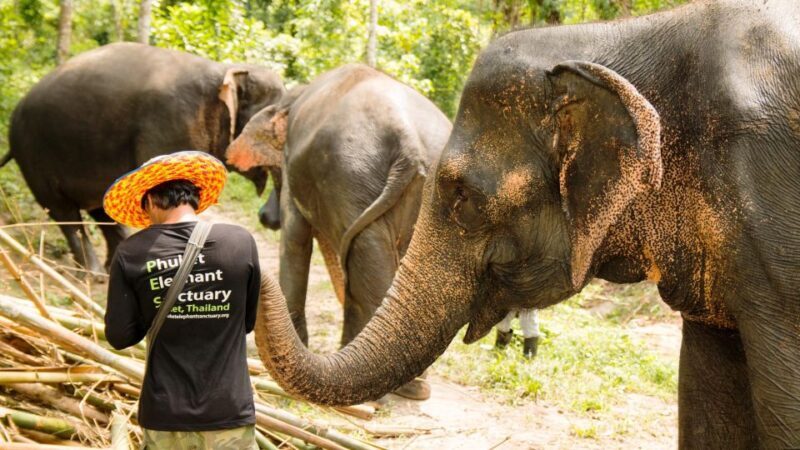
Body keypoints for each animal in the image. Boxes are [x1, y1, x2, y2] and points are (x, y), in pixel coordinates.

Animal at [5, 42, 284, 275]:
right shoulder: (171, 125)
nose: (266, 217)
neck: (225, 69)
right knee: (63, 211)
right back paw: (92, 275)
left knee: (100, 210)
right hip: (32, 155)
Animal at [226, 64, 452, 398]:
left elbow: (295, 240)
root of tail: (409, 144)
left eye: (273, 171)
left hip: (350, 177)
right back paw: (412, 385)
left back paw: (402, 387)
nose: (264, 218)